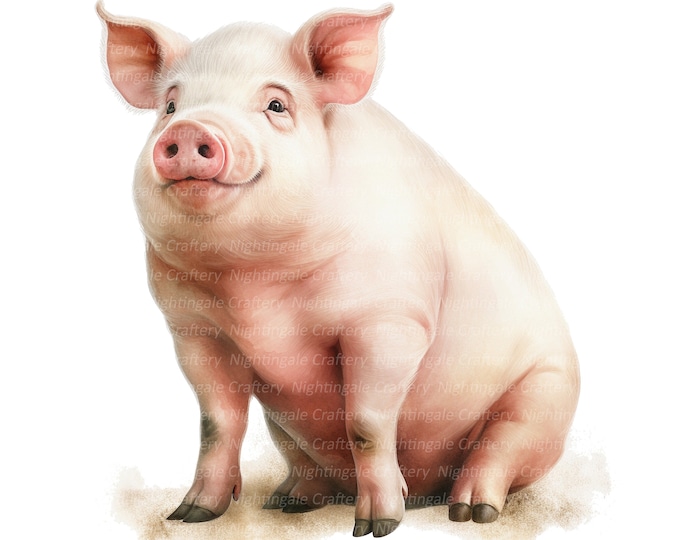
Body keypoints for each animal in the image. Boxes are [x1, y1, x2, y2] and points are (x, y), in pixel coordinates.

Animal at [97, 1, 579, 537]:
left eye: (276, 105)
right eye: (170, 106)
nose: (188, 131)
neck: (251, 285)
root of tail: (432, 487)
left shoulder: (390, 318)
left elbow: (366, 424)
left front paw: (376, 526)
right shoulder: (192, 328)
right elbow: (216, 425)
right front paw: (190, 515)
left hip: (543, 397)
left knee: (497, 451)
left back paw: (471, 512)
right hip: (284, 427)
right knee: (300, 458)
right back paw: (287, 503)